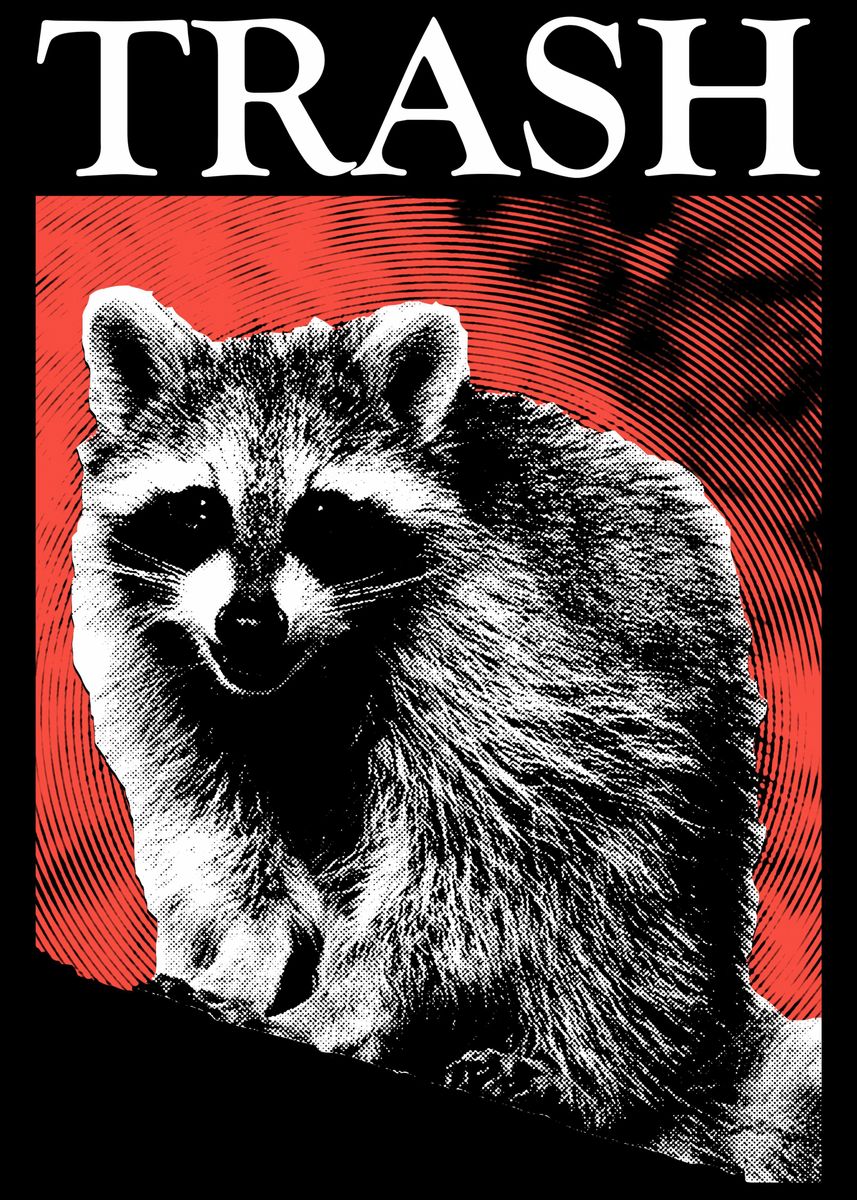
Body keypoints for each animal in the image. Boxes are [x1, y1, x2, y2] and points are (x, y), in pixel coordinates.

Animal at [73, 287, 792, 1159]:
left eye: (324, 515)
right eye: (199, 509)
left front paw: (344, 999)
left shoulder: (497, 660)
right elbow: (224, 835)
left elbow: (469, 868)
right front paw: (248, 958)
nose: (248, 623)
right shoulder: (172, 676)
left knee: (617, 893)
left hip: (669, 820)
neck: (300, 678)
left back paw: (585, 1071)